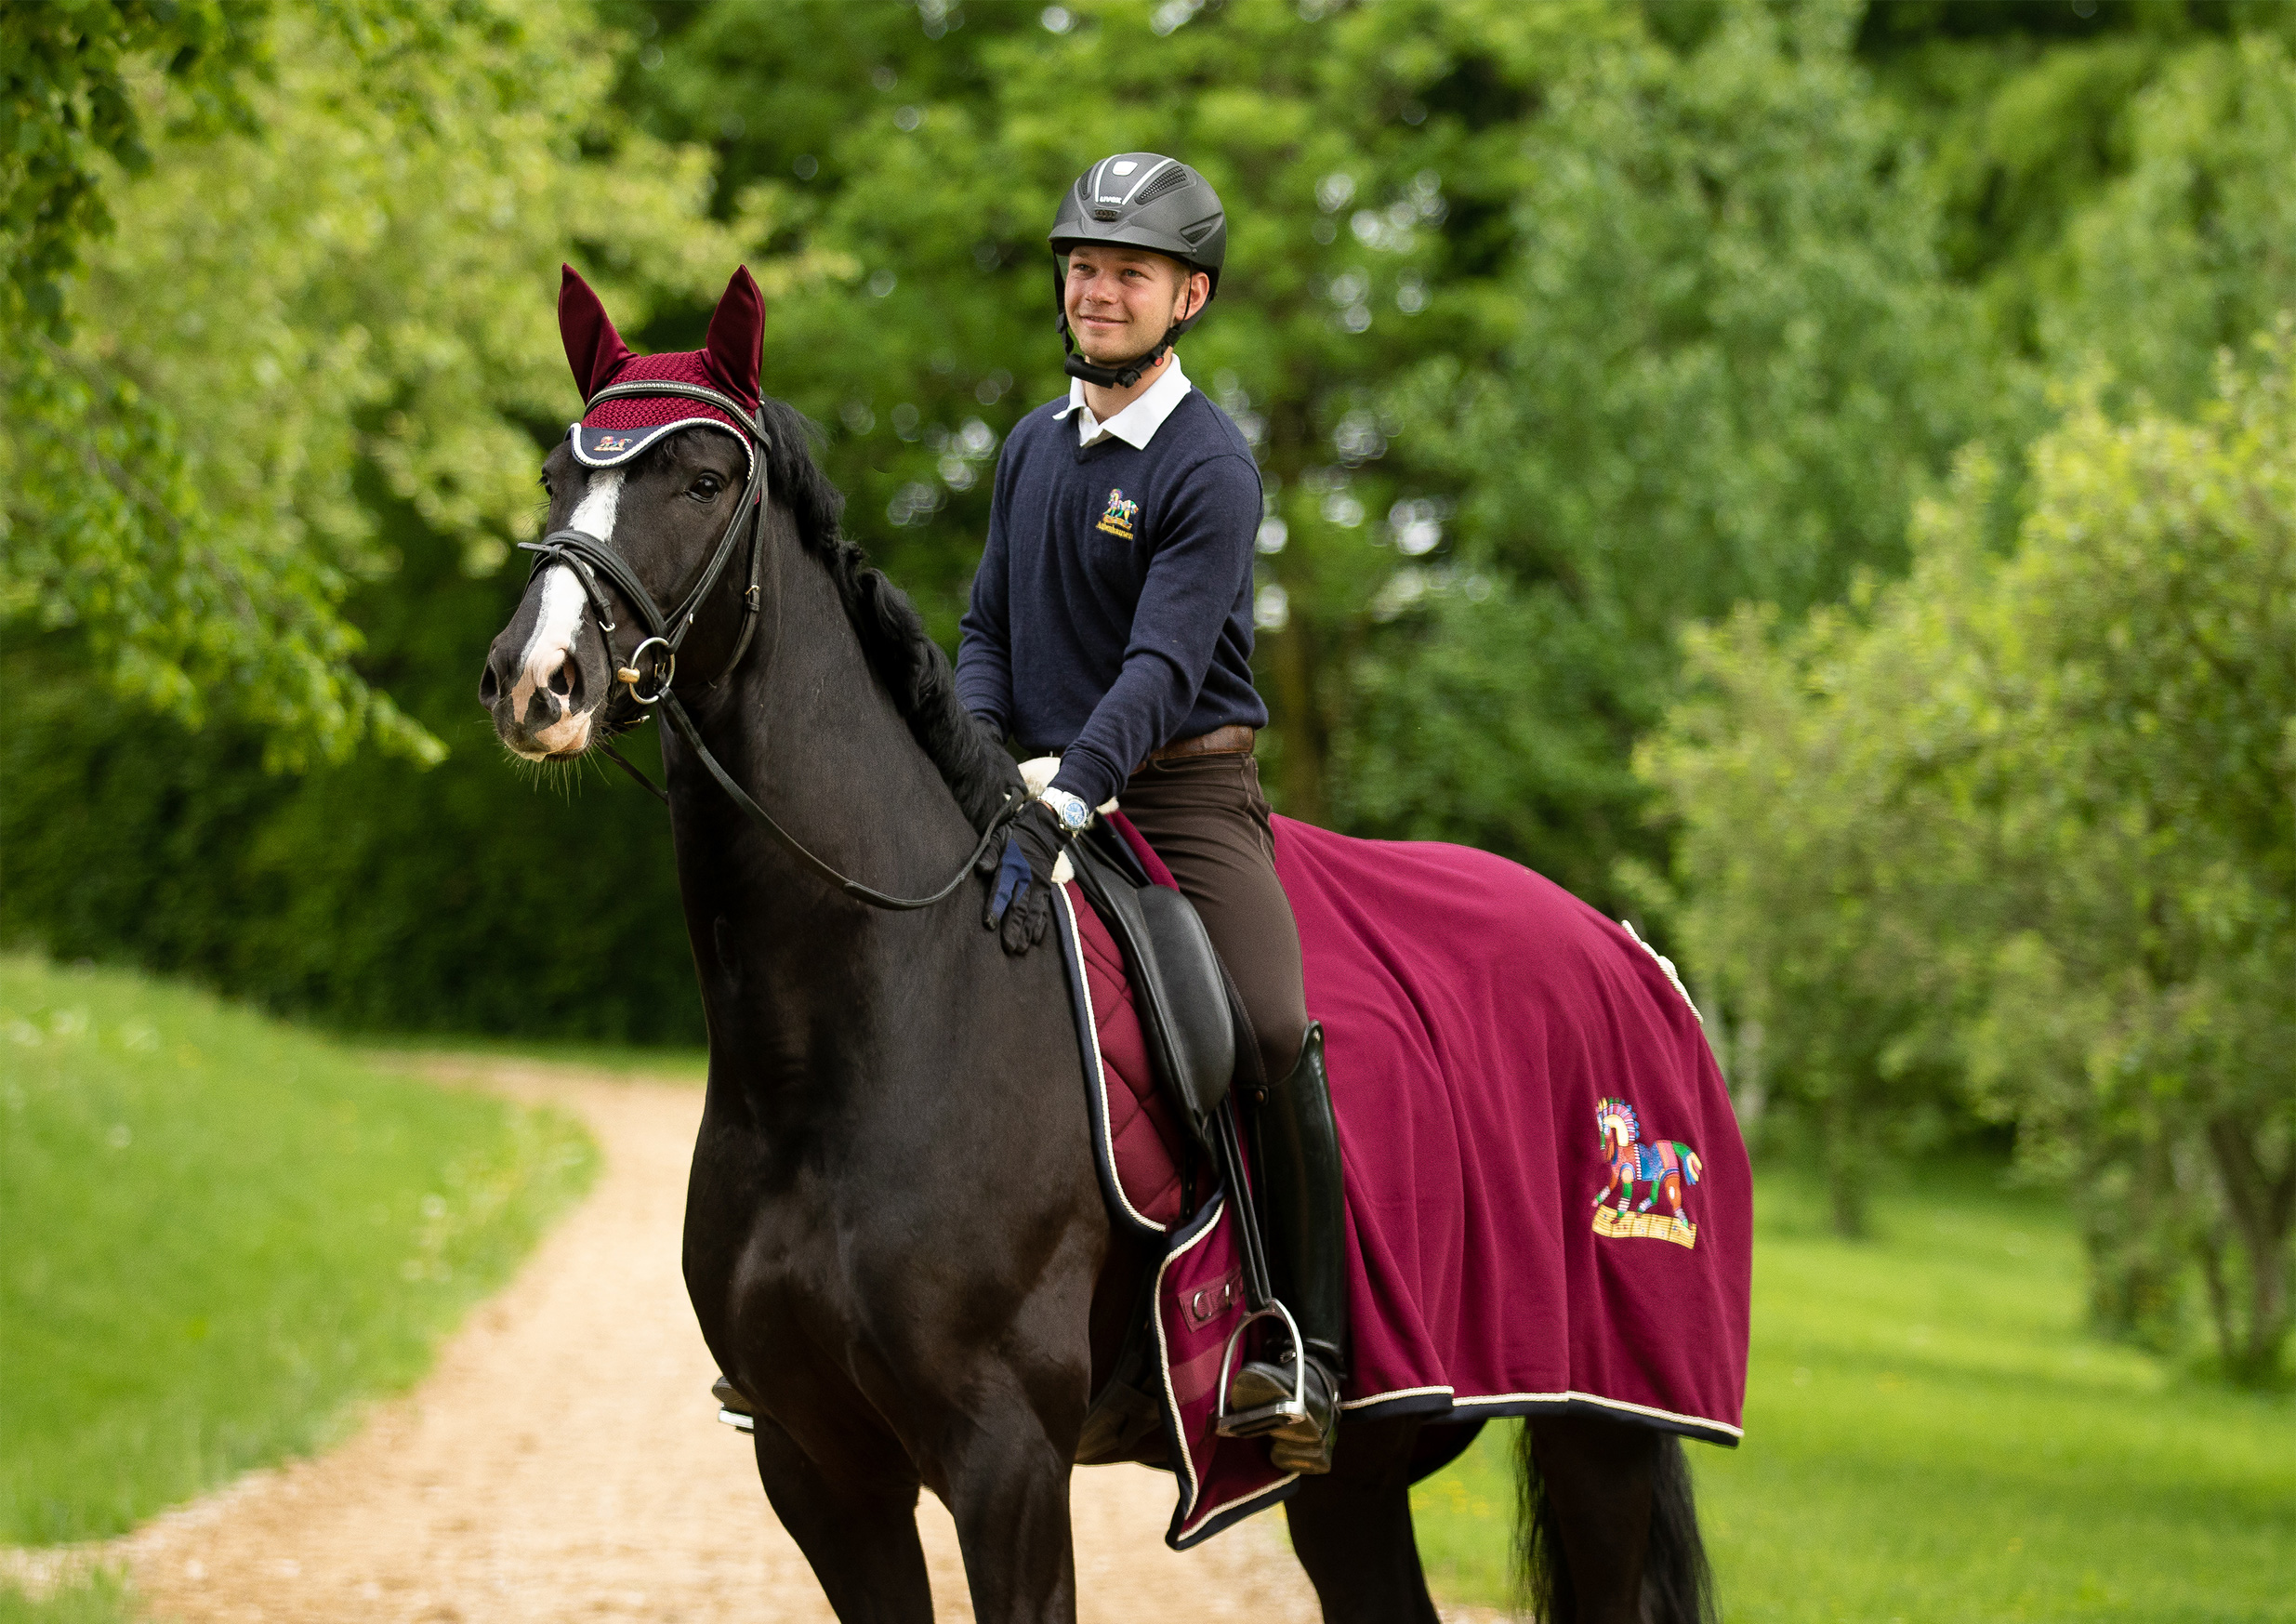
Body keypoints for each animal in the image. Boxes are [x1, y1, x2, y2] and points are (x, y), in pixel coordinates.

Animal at [480, 266, 1717, 1624]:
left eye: (702, 479)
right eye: (556, 474)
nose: (534, 679)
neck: (867, 1025)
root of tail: (1632, 954)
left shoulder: (1006, 1461)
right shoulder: (818, 1470)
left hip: (1599, 1436)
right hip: (1356, 1475)